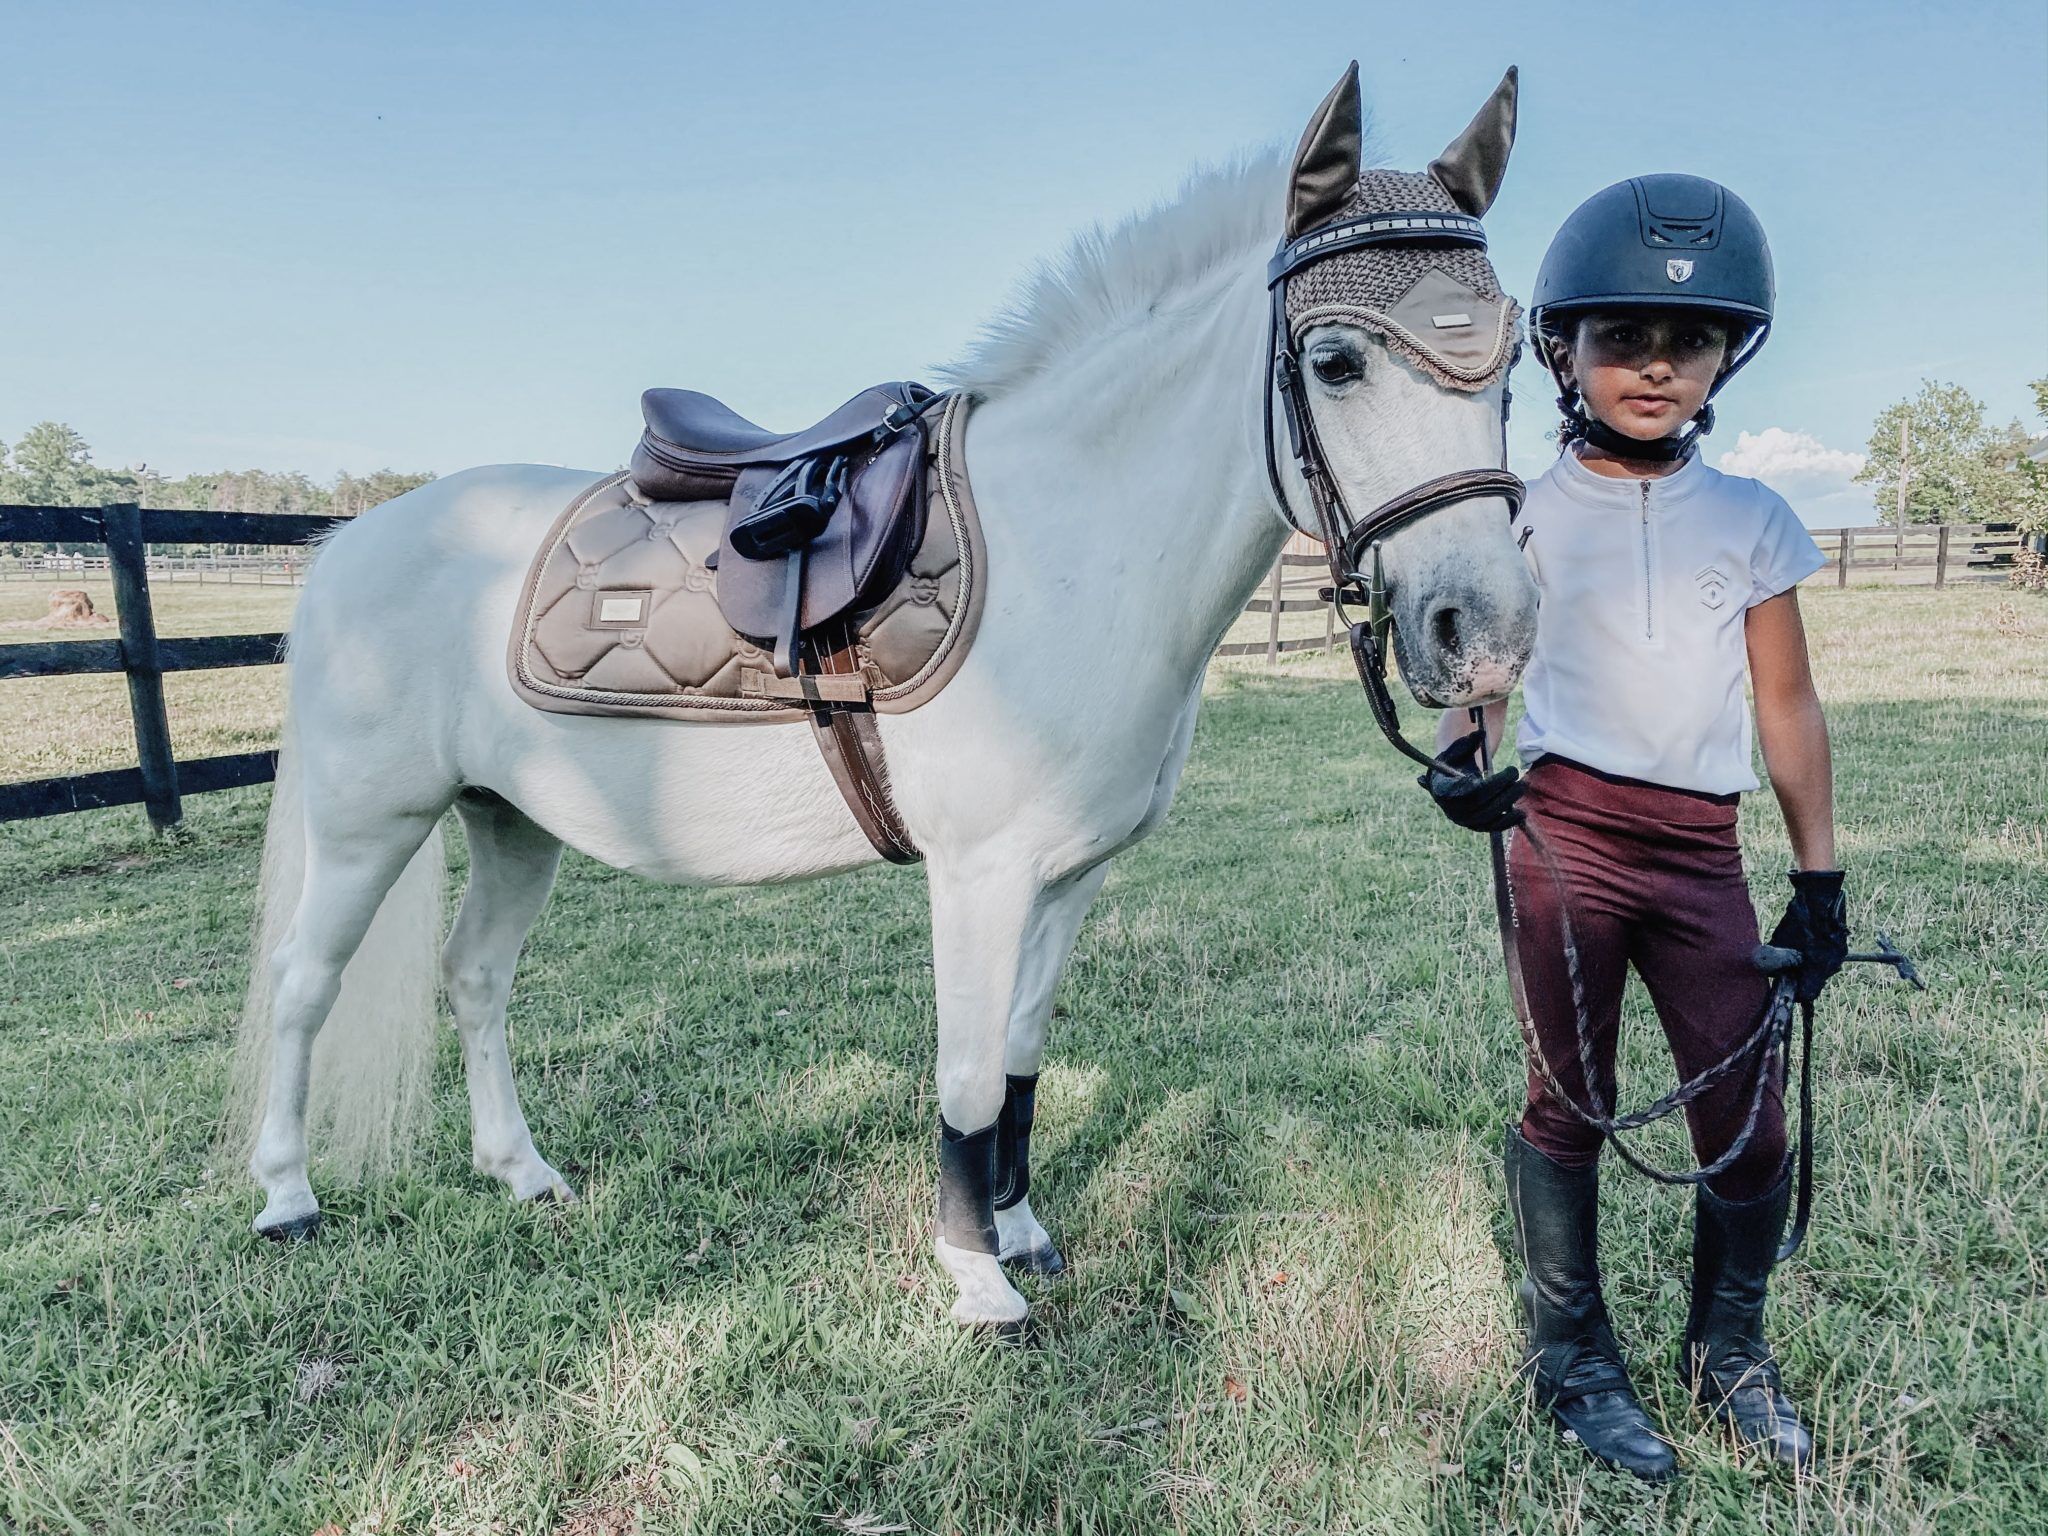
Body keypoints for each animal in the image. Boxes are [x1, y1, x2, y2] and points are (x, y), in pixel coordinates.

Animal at [229, 63, 1540, 1329]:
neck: (1065, 545)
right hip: (369, 824)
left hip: (510, 820)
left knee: (474, 978)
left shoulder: (1070, 874)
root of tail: (352, 541)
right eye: (1335, 361)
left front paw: (1020, 1229)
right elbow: (964, 1076)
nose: (1483, 632)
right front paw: (975, 1277)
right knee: (303, 982)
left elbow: (1017, 1061)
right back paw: (286, 1196)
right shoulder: (980, 874)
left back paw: (521, 1172)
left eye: (1511, 361)